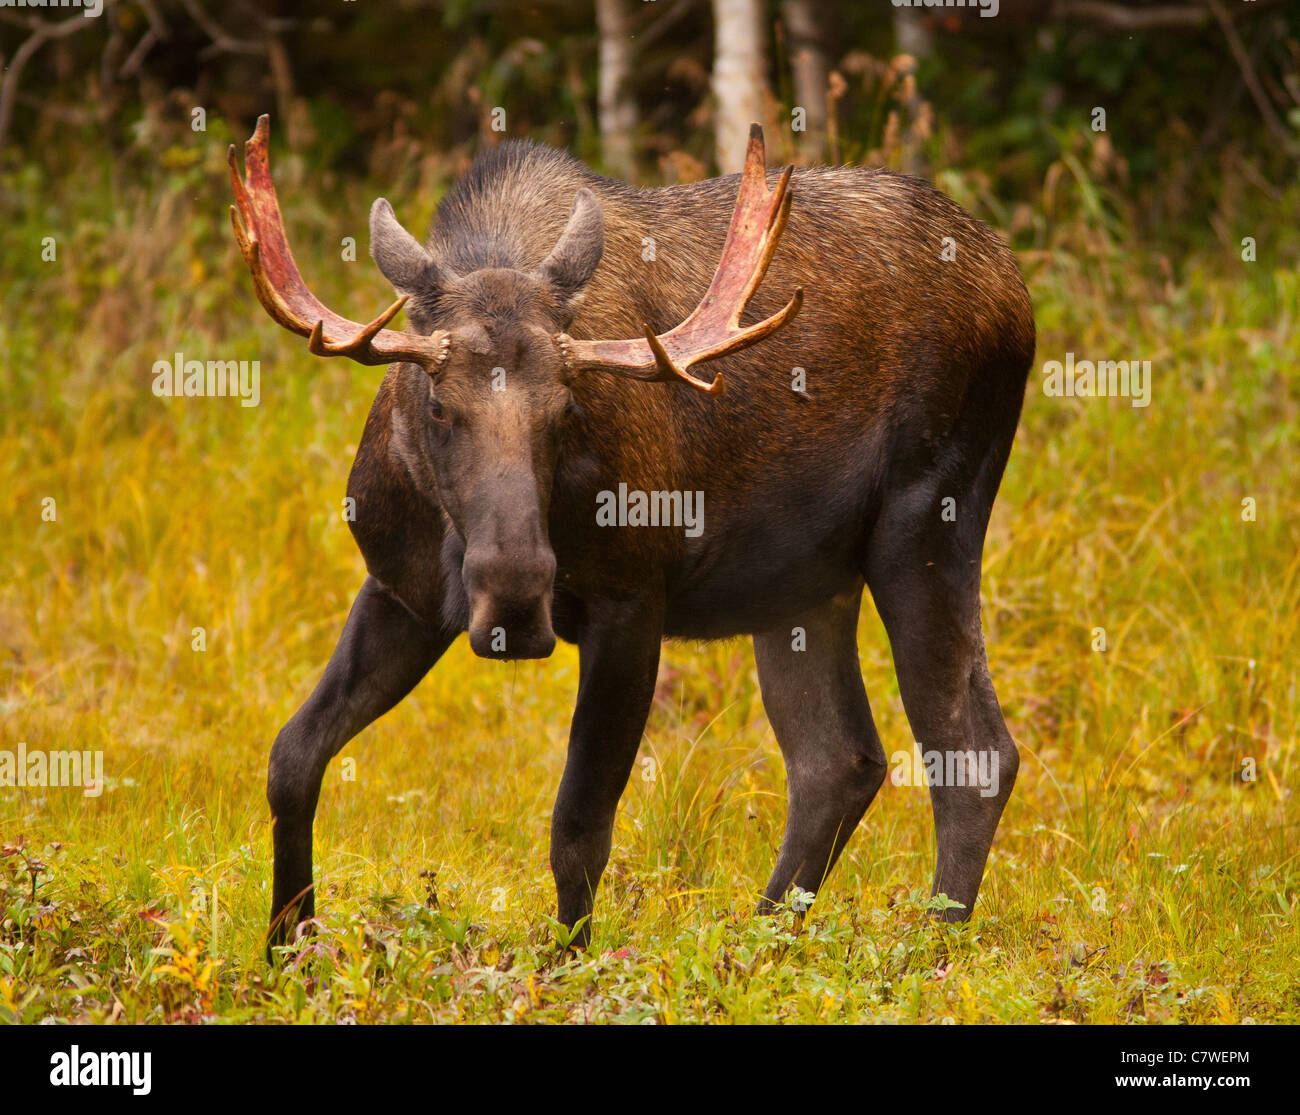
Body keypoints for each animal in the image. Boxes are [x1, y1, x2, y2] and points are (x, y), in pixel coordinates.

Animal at [227, 115, 1035, 956]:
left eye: (567, 406)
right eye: (439, 403)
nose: (515, 591)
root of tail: (1016, 285)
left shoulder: (632, 601)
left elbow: (579, 826)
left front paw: (570, 963)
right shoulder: (402, 591)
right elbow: (291, 757)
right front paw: (285, 943)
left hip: (926, 518)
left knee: (974, 749)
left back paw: (930, 948)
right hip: (803, 586)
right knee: (839, 759)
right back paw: (759, 948)